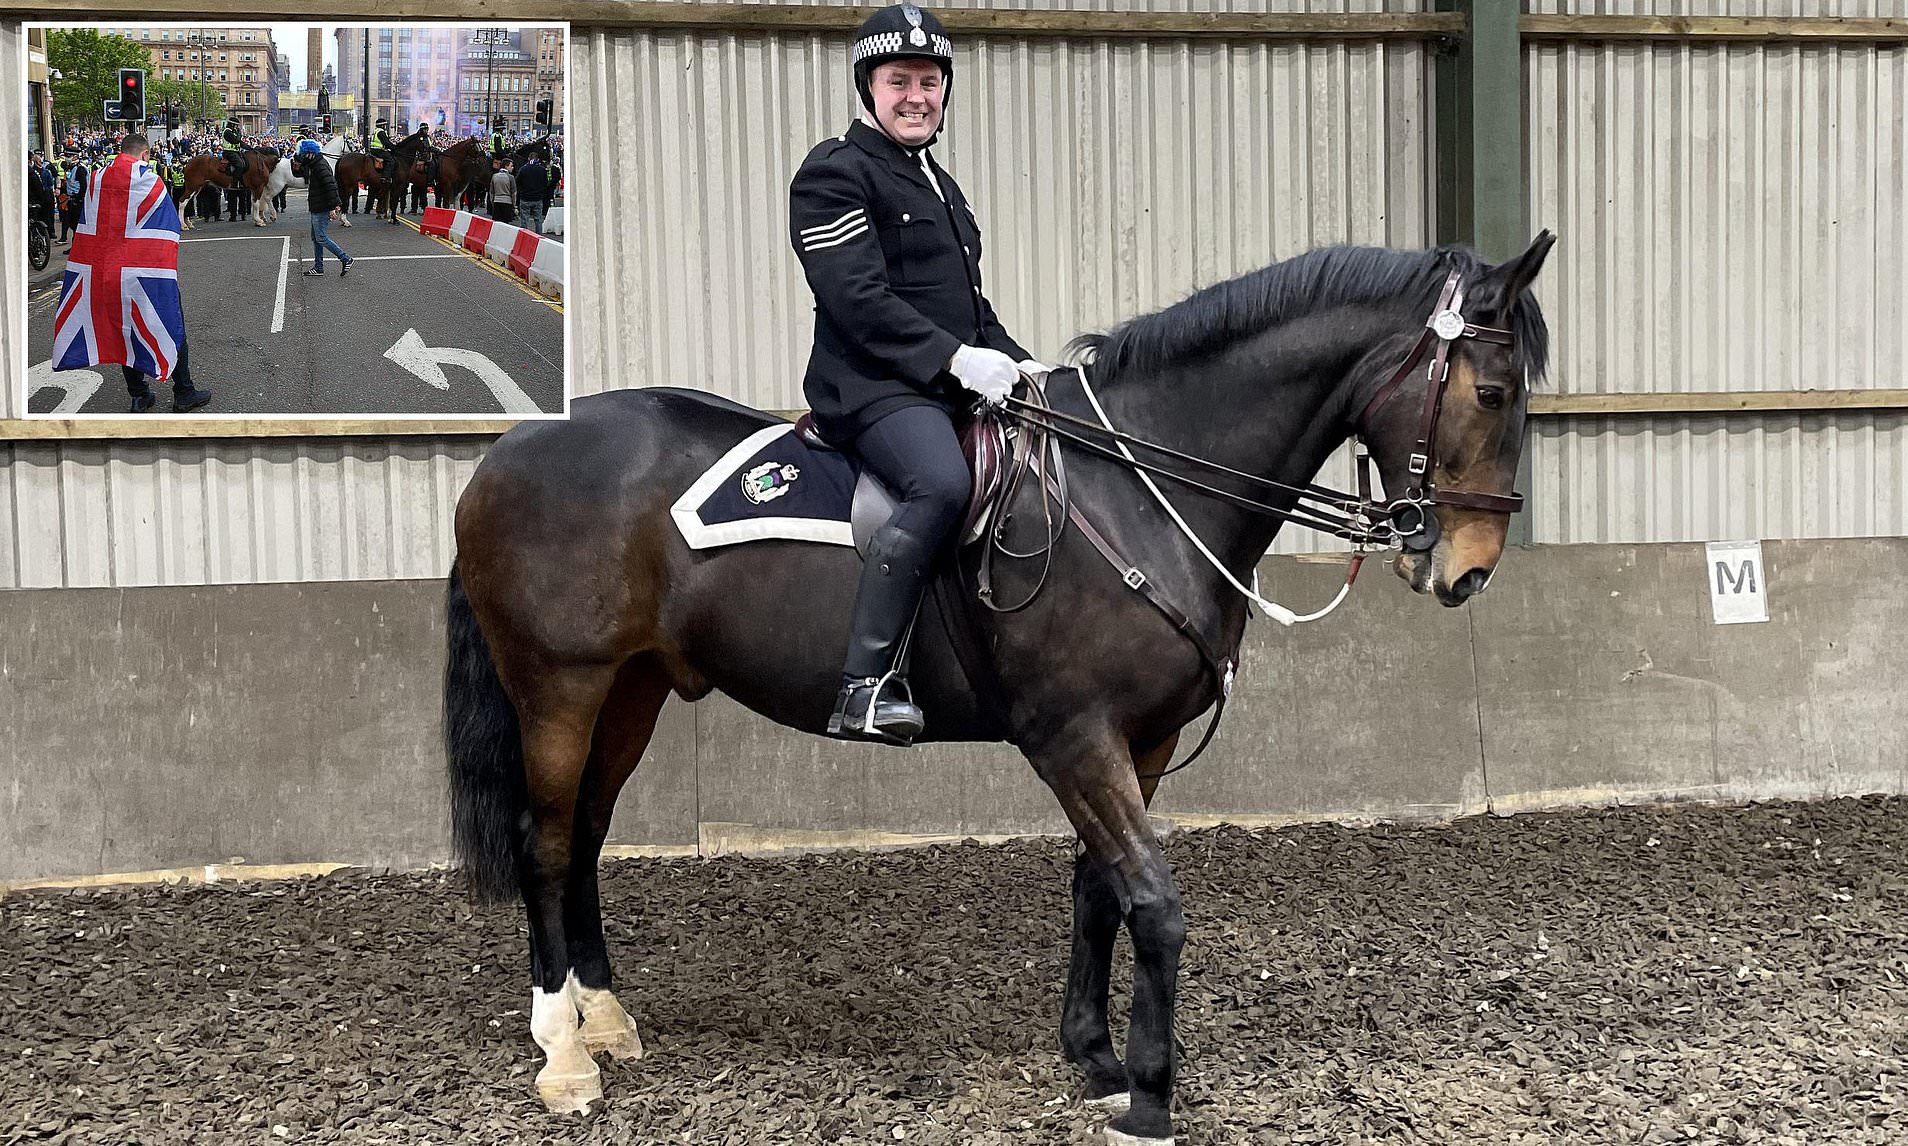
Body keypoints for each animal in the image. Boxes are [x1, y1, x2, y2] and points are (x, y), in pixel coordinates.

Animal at [442, 235, 1556, 1144]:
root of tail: (513, 449)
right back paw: (565, 1055)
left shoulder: (1139, 742)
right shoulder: (1074, 736)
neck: (1134, 487)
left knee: (587, 835)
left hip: (632, 690)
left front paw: (1095, 1057)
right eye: (1493, 395)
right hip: (559, 687)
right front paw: (1150, 1095)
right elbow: (1153, 900)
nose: (1470, 570)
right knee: (547, 844)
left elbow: (1099, 890)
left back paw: (606, 1019)